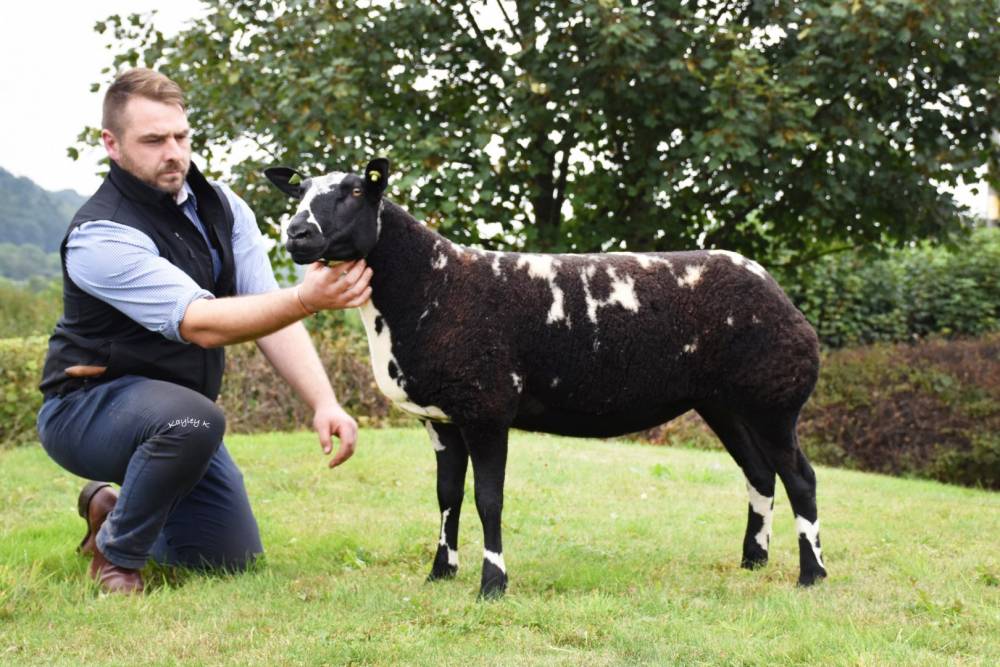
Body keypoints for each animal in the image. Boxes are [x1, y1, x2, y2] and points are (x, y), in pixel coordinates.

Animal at [266, 158, 826, 598]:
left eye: (355, 191)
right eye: (299, 190)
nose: (296, 234)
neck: (430, 284)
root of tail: (781, 298)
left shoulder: (487, 407)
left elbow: (488, 500)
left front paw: (493, 584)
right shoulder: (442, 419)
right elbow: (447, 496)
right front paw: (440, 573)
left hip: (773, 399)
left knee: (800, 478)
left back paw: (812, 575)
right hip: (725, 403)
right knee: (760, 474)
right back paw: (752, 561)